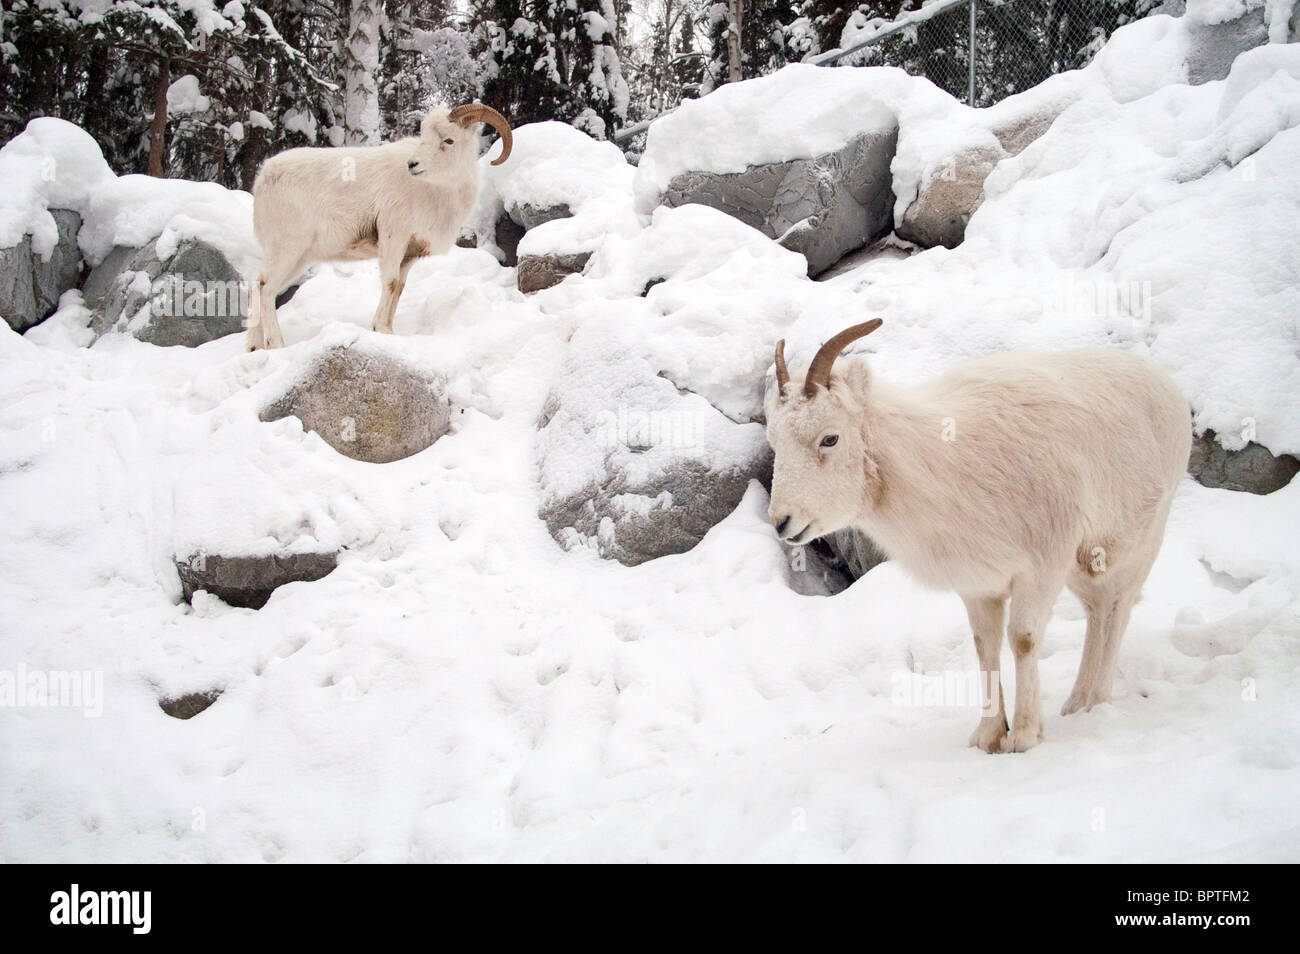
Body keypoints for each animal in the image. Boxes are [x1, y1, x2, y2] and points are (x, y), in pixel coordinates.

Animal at [245, 104, 512, 350]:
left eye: (448, 140)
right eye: (425, 135)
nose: (413, 165)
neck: (436, 192)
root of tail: (264, 177)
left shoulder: (409, 255)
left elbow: (399, 288)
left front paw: (389, 329)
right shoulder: (394, 238)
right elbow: (390, 283)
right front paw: (381, 329)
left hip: (298, 258)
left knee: (256, 286)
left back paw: (254, 347)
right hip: (287, 250)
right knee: (266, 289)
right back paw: (277, 344)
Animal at [765, 319, 1191, 753]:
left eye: (830, 438)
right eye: (774, 442)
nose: (782, 521)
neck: (953, 464)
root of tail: (1167, 387)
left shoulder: (1040, 569)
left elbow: (1023, 639)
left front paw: (1024, 736)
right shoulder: (979, 586)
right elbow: (984, 644)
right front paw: (988, 736)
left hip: (1137, 545)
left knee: (1118, 609)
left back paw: (1097, 702)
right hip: (1084, 564)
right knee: (1098, 610)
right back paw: (1076, 704)